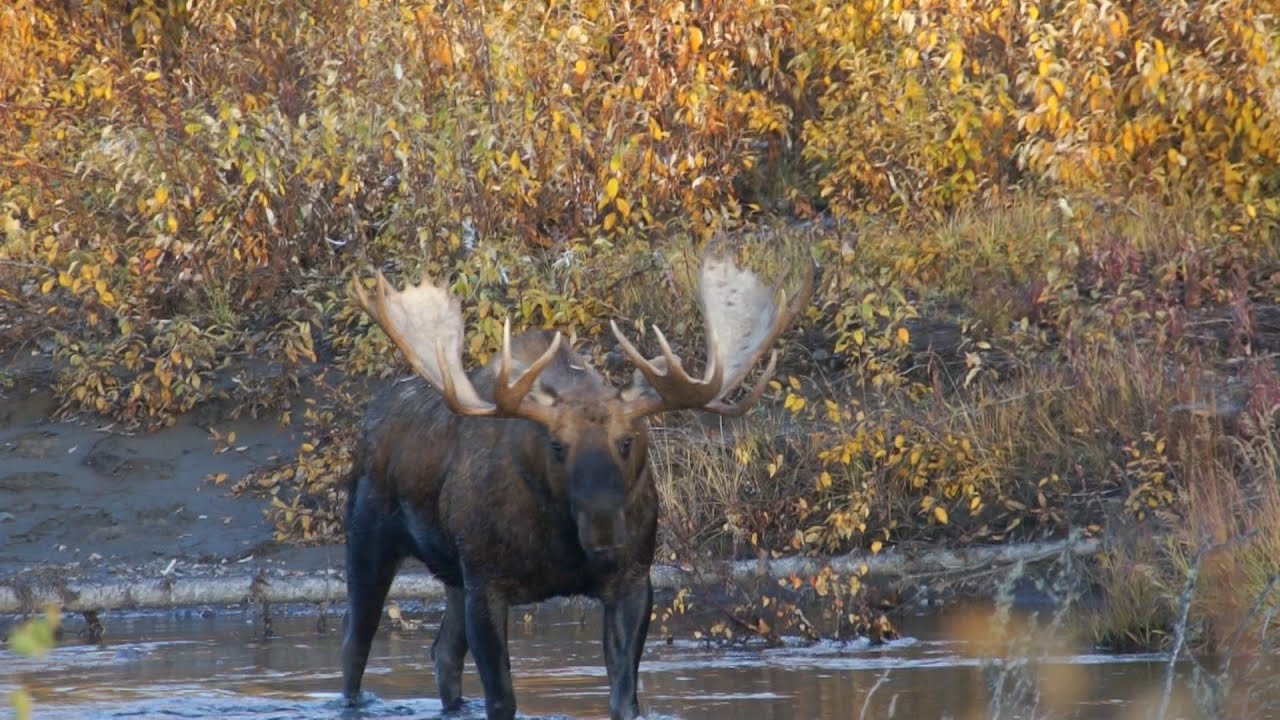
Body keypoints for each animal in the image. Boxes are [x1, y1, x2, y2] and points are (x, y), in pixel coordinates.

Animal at [343, 253, 813, 720]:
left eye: (627, 441)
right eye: (556, 445)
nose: (605, 528)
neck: (561, 547)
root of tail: (369, 419)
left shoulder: (632, 578)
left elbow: (625, 698)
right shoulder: (485, 581)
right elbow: (502, 699)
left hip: (452, 576)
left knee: (442, 654)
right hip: (370, 540)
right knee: (355, 649)